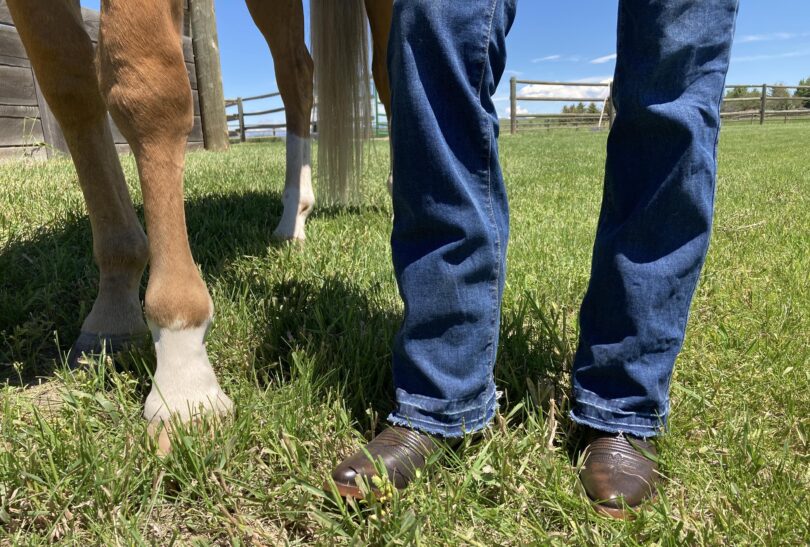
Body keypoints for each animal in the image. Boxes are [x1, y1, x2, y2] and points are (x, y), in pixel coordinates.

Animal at [5, 0, 393, 453]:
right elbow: (70, 88)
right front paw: (113, 312)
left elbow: (147, 88)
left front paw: (183, 378)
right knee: (296, 73)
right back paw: (293, 218)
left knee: (383, 71)